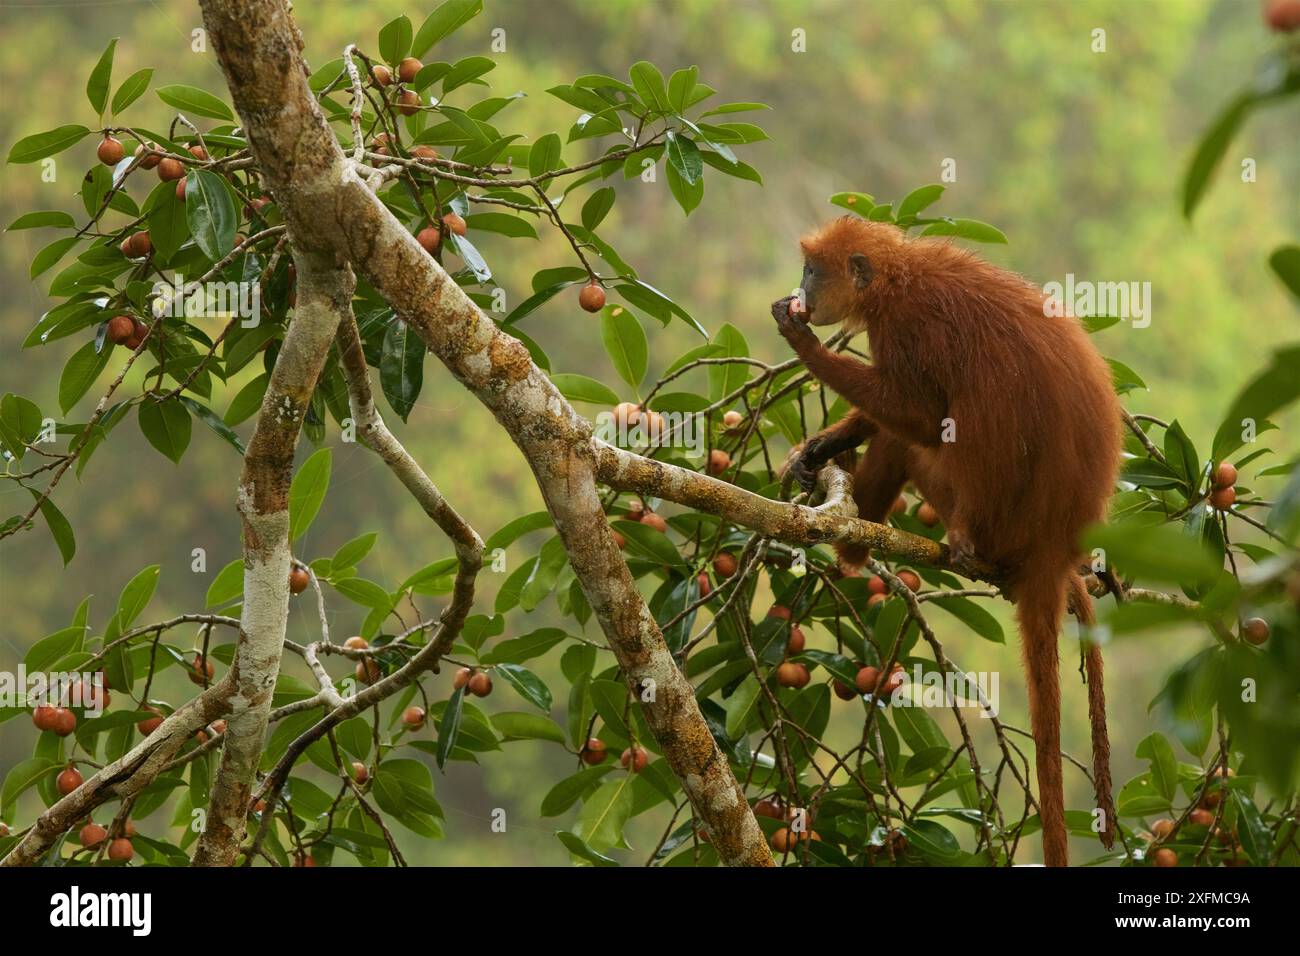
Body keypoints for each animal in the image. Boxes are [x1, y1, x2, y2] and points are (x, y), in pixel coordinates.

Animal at [772, 216, 1120, 867]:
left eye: (811, 270)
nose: (800, 288)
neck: (899, 279)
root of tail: (1054, 547)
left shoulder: (908, 326)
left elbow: (921, 415)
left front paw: (801, 342)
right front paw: (822, 447)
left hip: (982, 515)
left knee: (915, 436)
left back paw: (857, 549)